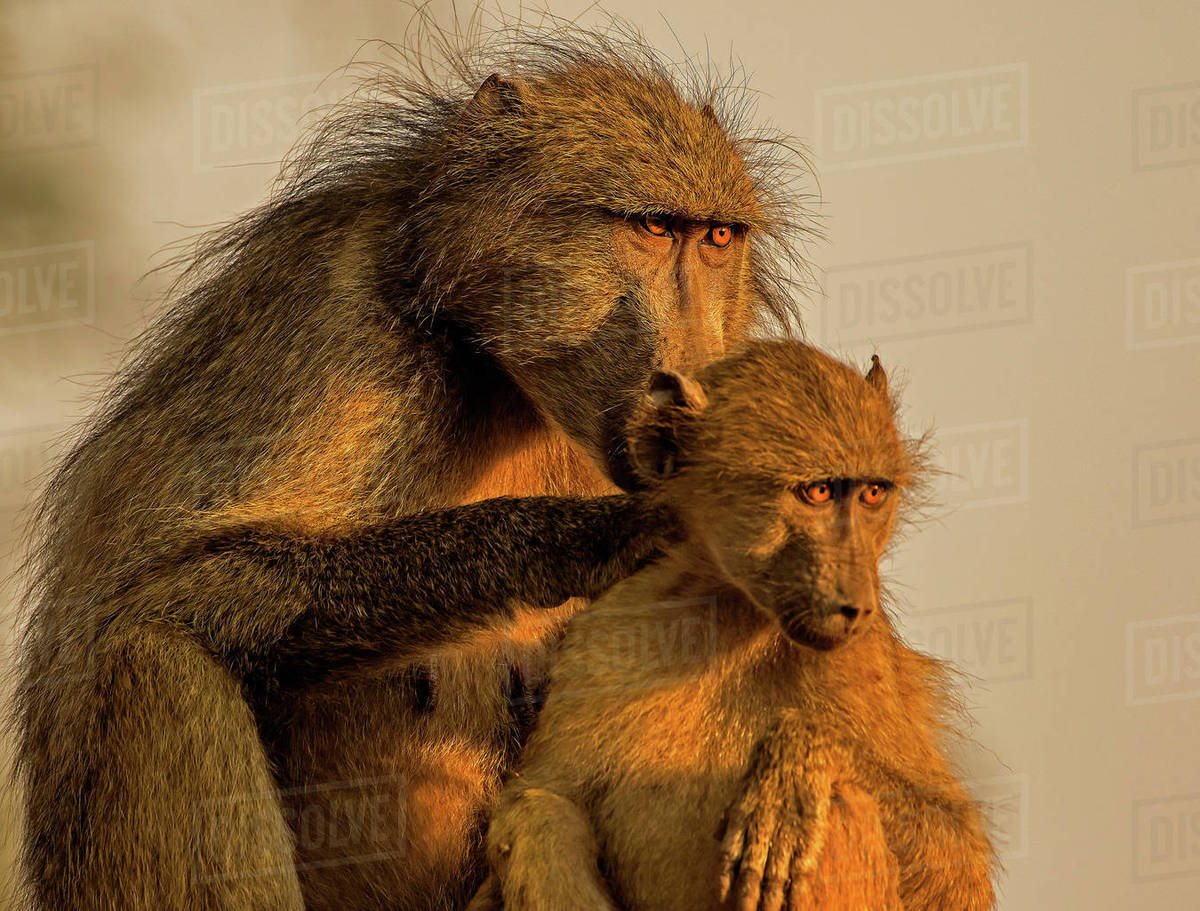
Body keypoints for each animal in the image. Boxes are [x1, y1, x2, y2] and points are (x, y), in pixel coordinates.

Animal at [11, 21, 813, 911]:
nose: (692, 377)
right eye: (651, 228)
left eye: (717, 239)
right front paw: (576, 538)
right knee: (155, 656)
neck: (495, 374)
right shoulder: (334, 320)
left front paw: (795, 767)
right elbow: (161, 588)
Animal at [468, 340, 996, 911]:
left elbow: (957, 863)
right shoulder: (604, 637)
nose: (855, 604)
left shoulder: (859, 660)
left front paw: (801, 757)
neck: (729, 610)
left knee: (835, 806)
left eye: (873, 494)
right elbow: (535, 801)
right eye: (817, 492)